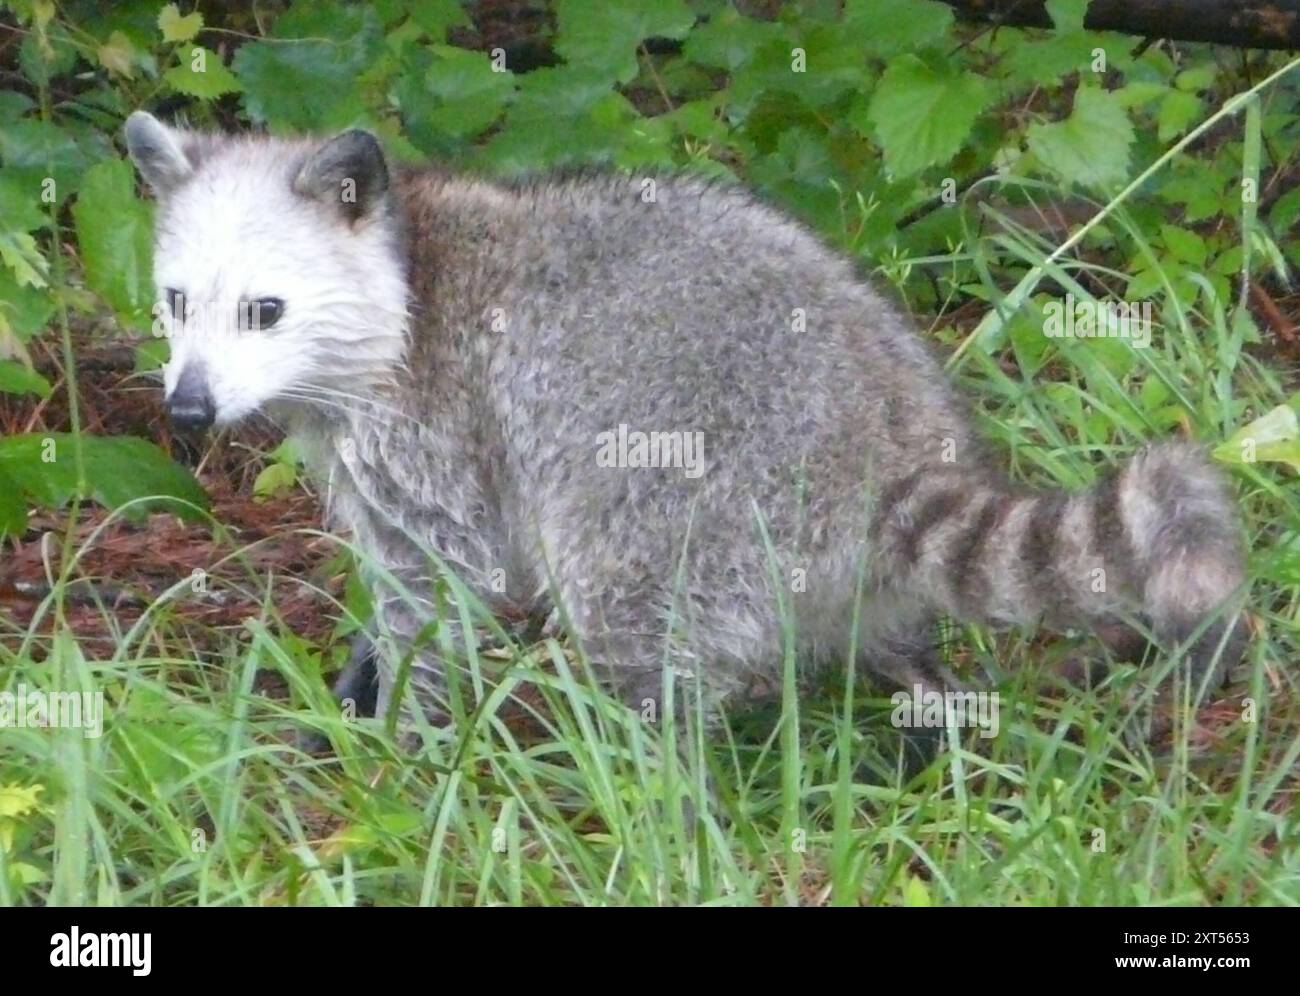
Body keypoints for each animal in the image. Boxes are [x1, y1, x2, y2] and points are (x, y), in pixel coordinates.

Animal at [124, 111, 1249, 737]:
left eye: (264, 311)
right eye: (178, 302)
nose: (187, 408)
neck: (404, 269)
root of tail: (886, 431)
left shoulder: (432, 420)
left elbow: (441, 582)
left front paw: (401, 722)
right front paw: (359, 688)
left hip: (692, 486)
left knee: (627, 611)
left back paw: (644, 786)